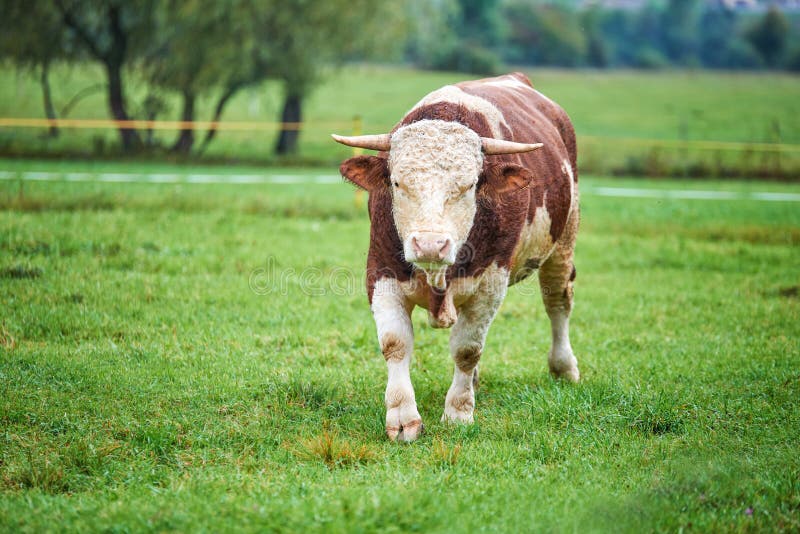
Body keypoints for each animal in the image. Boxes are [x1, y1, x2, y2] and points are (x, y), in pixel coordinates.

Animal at [332, 72, 580, 442]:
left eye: (470, 185)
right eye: (397, 182)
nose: (430, 245)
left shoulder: (492, 282)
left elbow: (467, 349)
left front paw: (459, 412)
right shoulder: (380, 271)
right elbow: (395, 343)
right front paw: (403, 417)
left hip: (563, 243)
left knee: (557, 303)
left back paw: (564, 367)